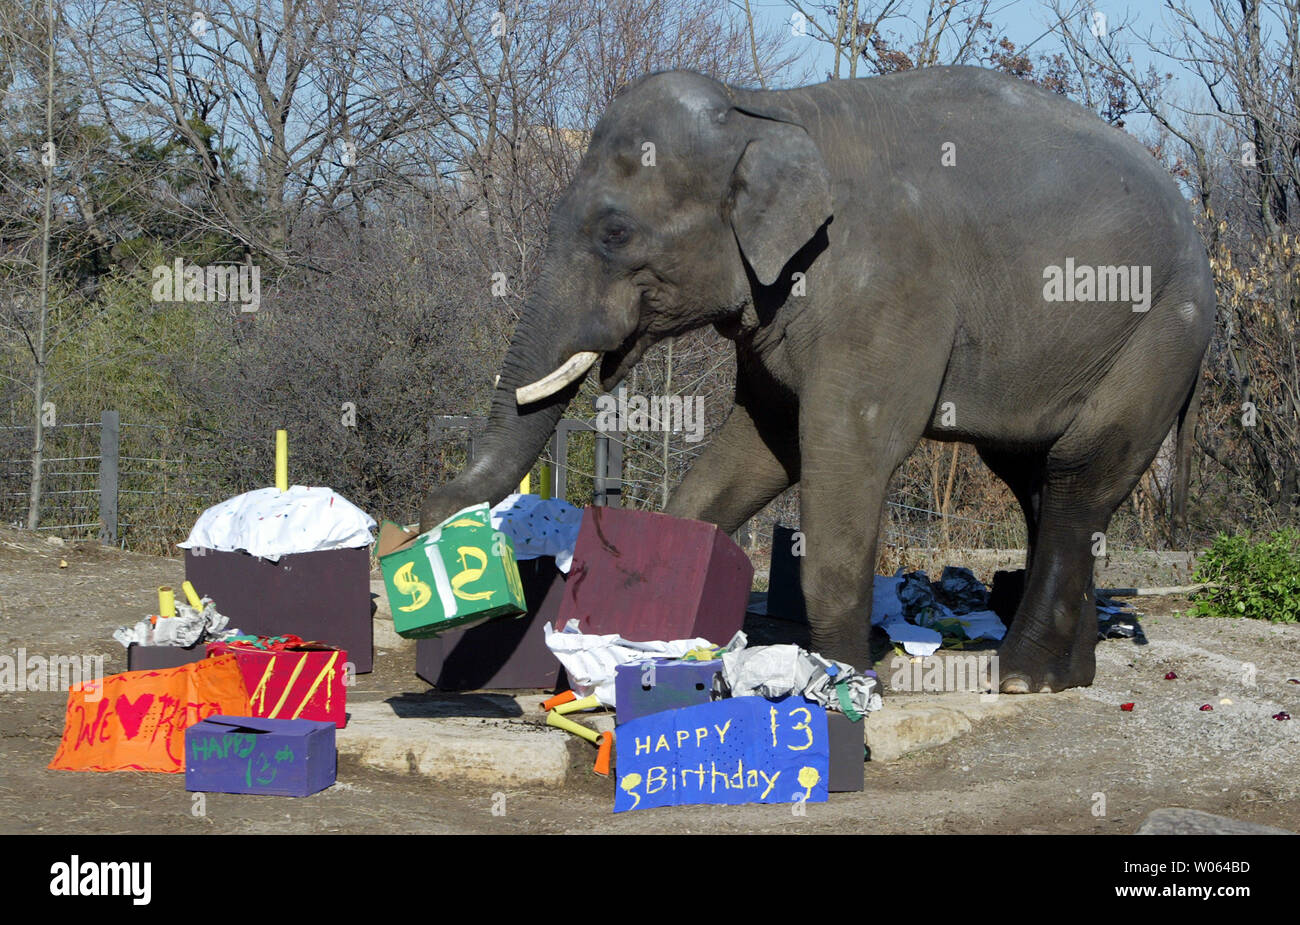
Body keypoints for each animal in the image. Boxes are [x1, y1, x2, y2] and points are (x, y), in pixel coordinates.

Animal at [418, 65, 1215, 694]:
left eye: (615, 233)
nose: (432, 520)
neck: (764, 107)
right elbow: (758, 447)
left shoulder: (884, 290)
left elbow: (846, 451)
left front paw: (844, 680)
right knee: (1039, 481)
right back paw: (1067, 675)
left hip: (1163, 333)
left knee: (1078, 473)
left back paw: (1018, 677)